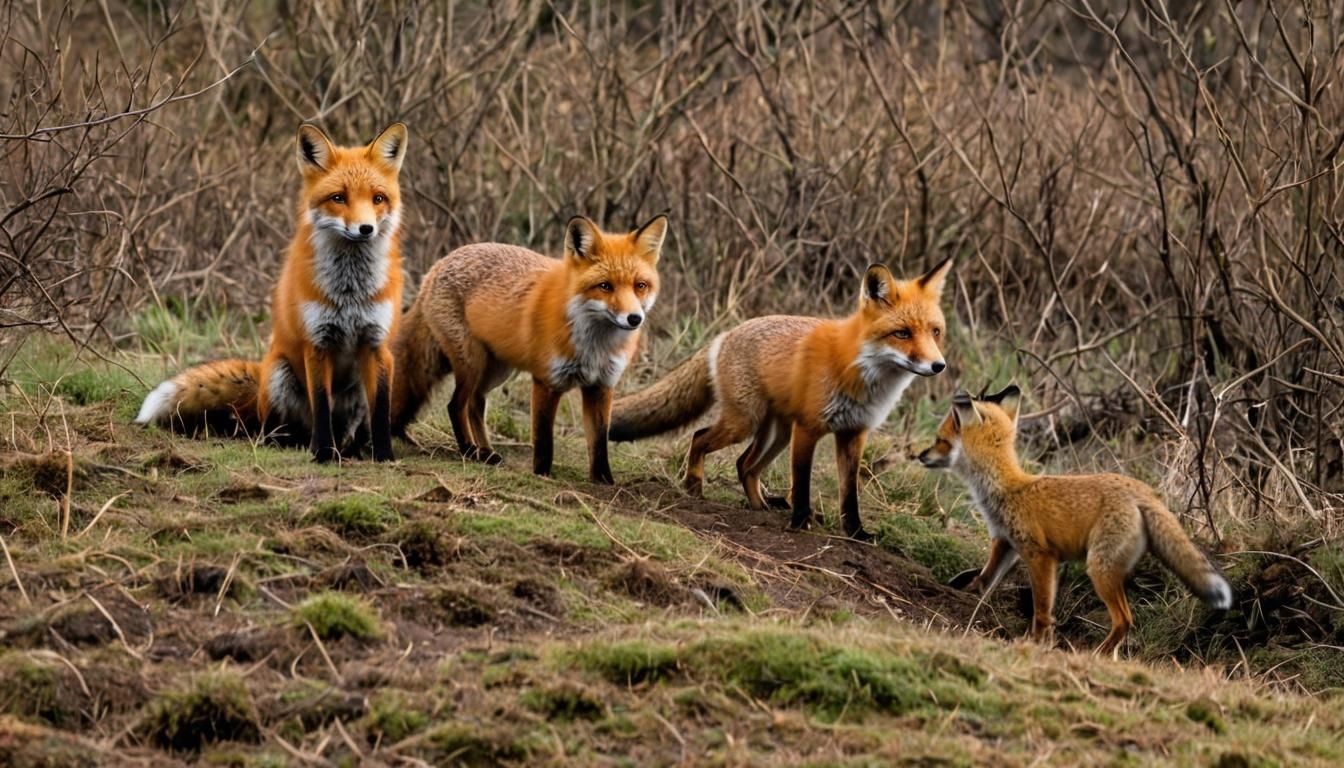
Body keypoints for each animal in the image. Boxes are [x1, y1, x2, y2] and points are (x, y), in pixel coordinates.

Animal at [135, 122, 409, 463]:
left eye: (378, 198)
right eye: (338, 198)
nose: (366, 229)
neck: (350, 292)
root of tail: (261, 377)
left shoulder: (377, 344)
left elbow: (381, 410)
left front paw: (383, 454)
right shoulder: (316, 344)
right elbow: (322, 406)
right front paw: (322, 454)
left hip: (356, 387)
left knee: (352, 426)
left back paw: (354, 448)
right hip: (281, 374)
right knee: (280, 428)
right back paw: (291, 442)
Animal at [389, 214, 666, 484]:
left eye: (640, 285)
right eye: (605, 286)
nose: (634, 319)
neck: (594, 346)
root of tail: (437, 266)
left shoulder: (601, 386)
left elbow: (599, 444)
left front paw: (603, 481)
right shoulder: (547, 381)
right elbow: (543, 441)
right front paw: (542, 475)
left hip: (497, 371)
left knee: (475, 404)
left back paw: (487, 452)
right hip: (472, 363)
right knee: (456, 405)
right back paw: (469, 450)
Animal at [608, 259, 953, 541]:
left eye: (935, 332)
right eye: (903, 333)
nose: (939, 366)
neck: (861, 376)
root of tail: (725, 335)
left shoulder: (853, 434)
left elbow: (849, 495)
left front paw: (856, 533)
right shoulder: (808, 428)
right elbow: (801, 484)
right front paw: (800, 523)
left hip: (776, 433)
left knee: (744, 465)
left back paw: (759, 505)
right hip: (746, 424)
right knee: (700, 438)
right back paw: (694, 487)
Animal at [916, 385, 1232, 657]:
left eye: (940, 440)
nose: (919, 455)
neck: (1008, 489)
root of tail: (1142, 491)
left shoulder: (1041, 555)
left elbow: (1042, 610)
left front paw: (1037, 642)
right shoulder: (1006, 544)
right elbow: (984, 581)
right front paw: (968, 598)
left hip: (1099, 568)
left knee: (1125, 620)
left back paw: (1098, 655)